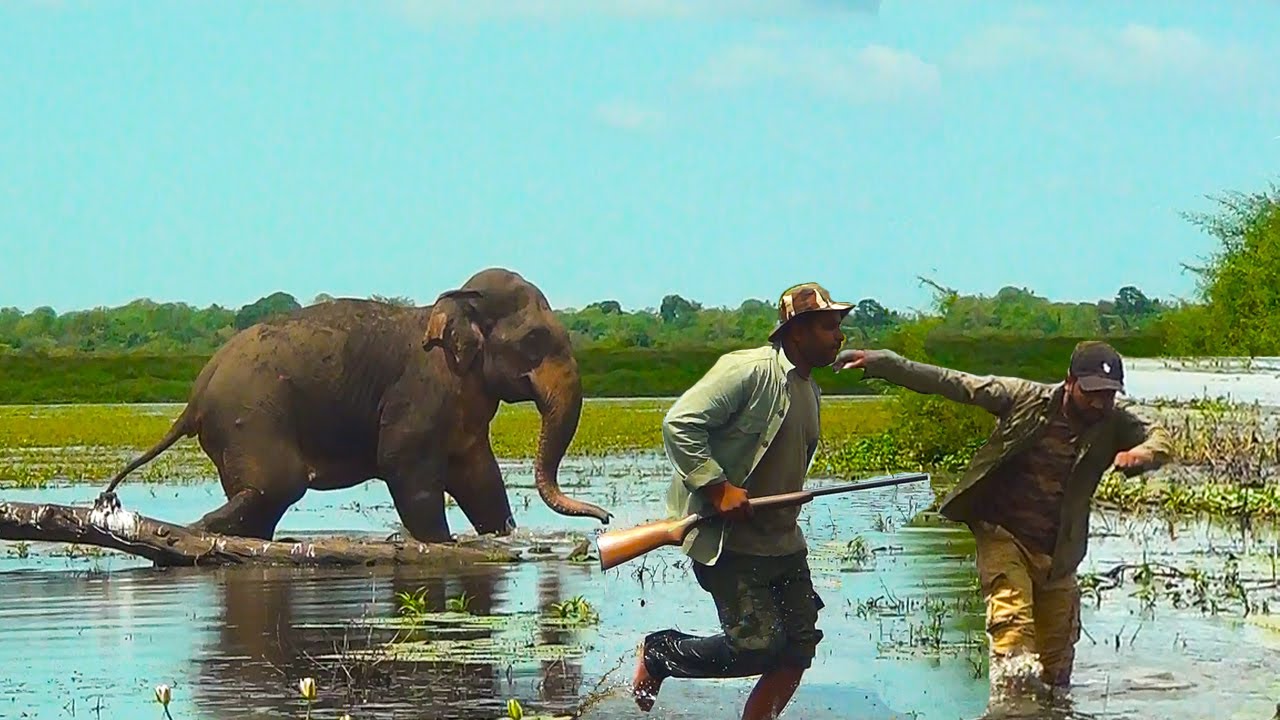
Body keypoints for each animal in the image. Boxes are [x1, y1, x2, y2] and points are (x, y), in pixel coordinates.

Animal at [95, 267, 613, 543]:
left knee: (263, 500)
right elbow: (404, 467)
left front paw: (501, 538)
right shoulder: (420, 390)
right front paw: (441, 544)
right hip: (251, 417)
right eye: (535, 340)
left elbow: (479, 475)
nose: (607, 520)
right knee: (275, 486)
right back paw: (192, 530)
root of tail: (195, 396)